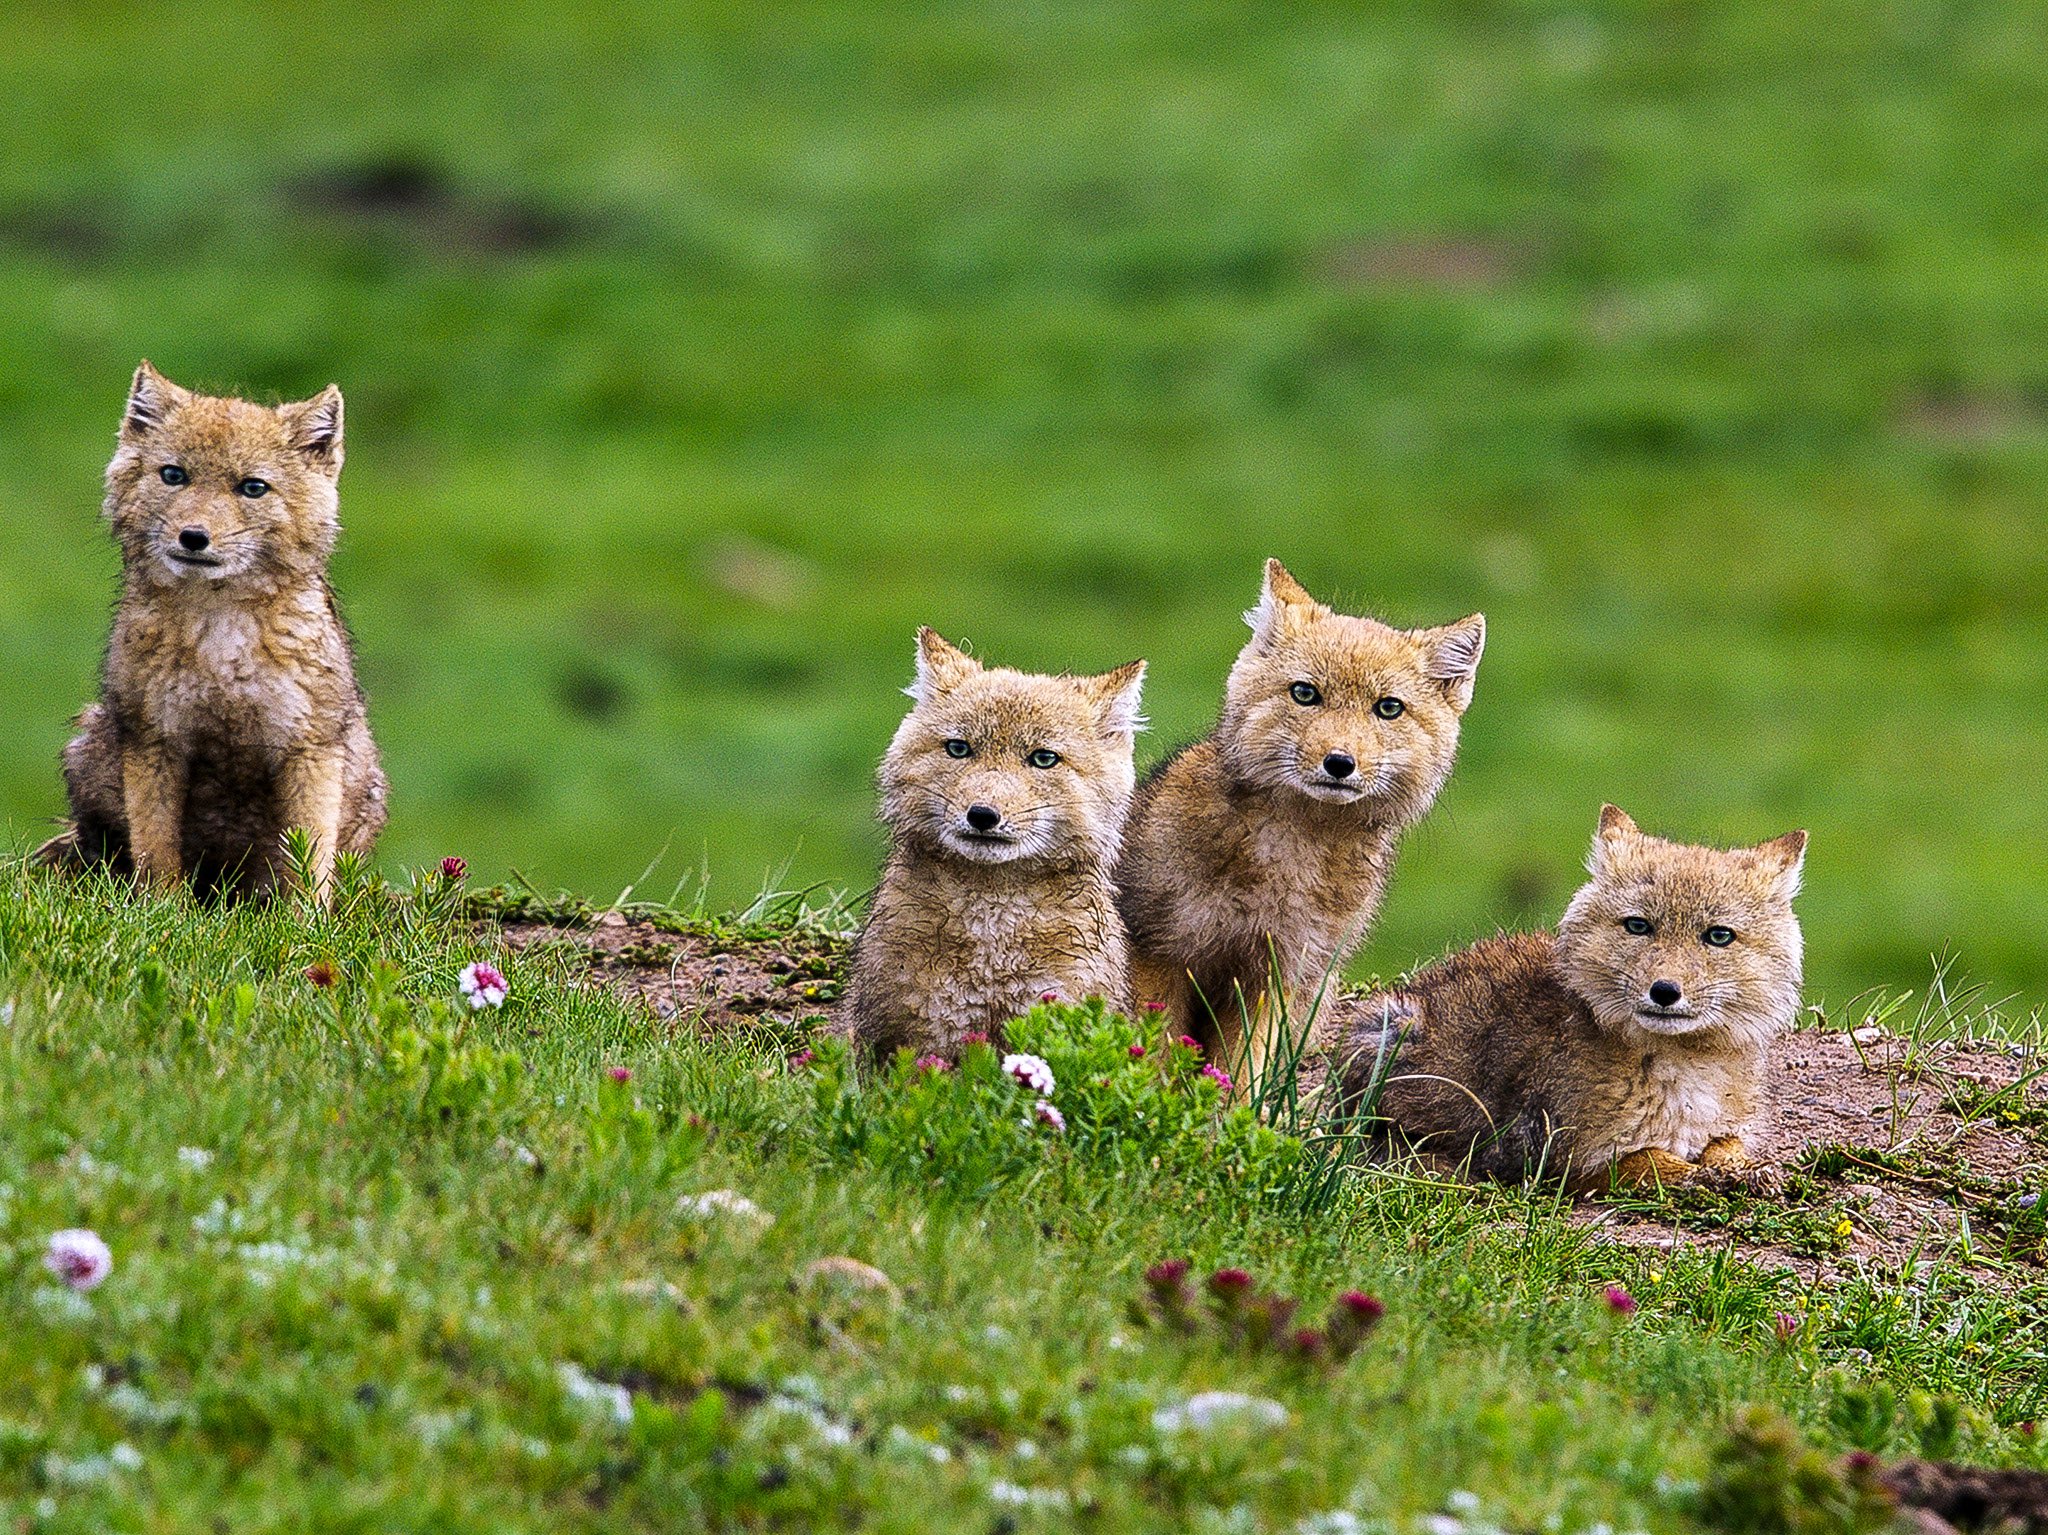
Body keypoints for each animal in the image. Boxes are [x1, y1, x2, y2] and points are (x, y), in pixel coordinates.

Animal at [36, 361, 386, 904]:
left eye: (253, 487)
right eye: (174, 475)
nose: (194, 537)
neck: (220, 638)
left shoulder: (308, 751)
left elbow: (308, 867)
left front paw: (304, 923)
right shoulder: (155, 744)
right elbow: (157, 855)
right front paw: (162, 913)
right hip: (89, 755)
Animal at [1116, 559, 1484, 1087]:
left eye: (1388, 707)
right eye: (1305, 693)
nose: (1339, 763)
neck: (1287, 858)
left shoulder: (1277, 977)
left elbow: (1242, 1079)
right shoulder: (1161, 952)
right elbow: (1155, 1062)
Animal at [1339, 805, 1807, 1191]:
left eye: (1718, 936)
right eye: (1638, 926)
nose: (1664, 991)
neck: (1685, 1074)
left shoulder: (1727, 1128)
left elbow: (1727, 1148)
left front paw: (1745, 1170)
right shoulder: (1567, 1160)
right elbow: (1655, 1160)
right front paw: (1705, 1177)